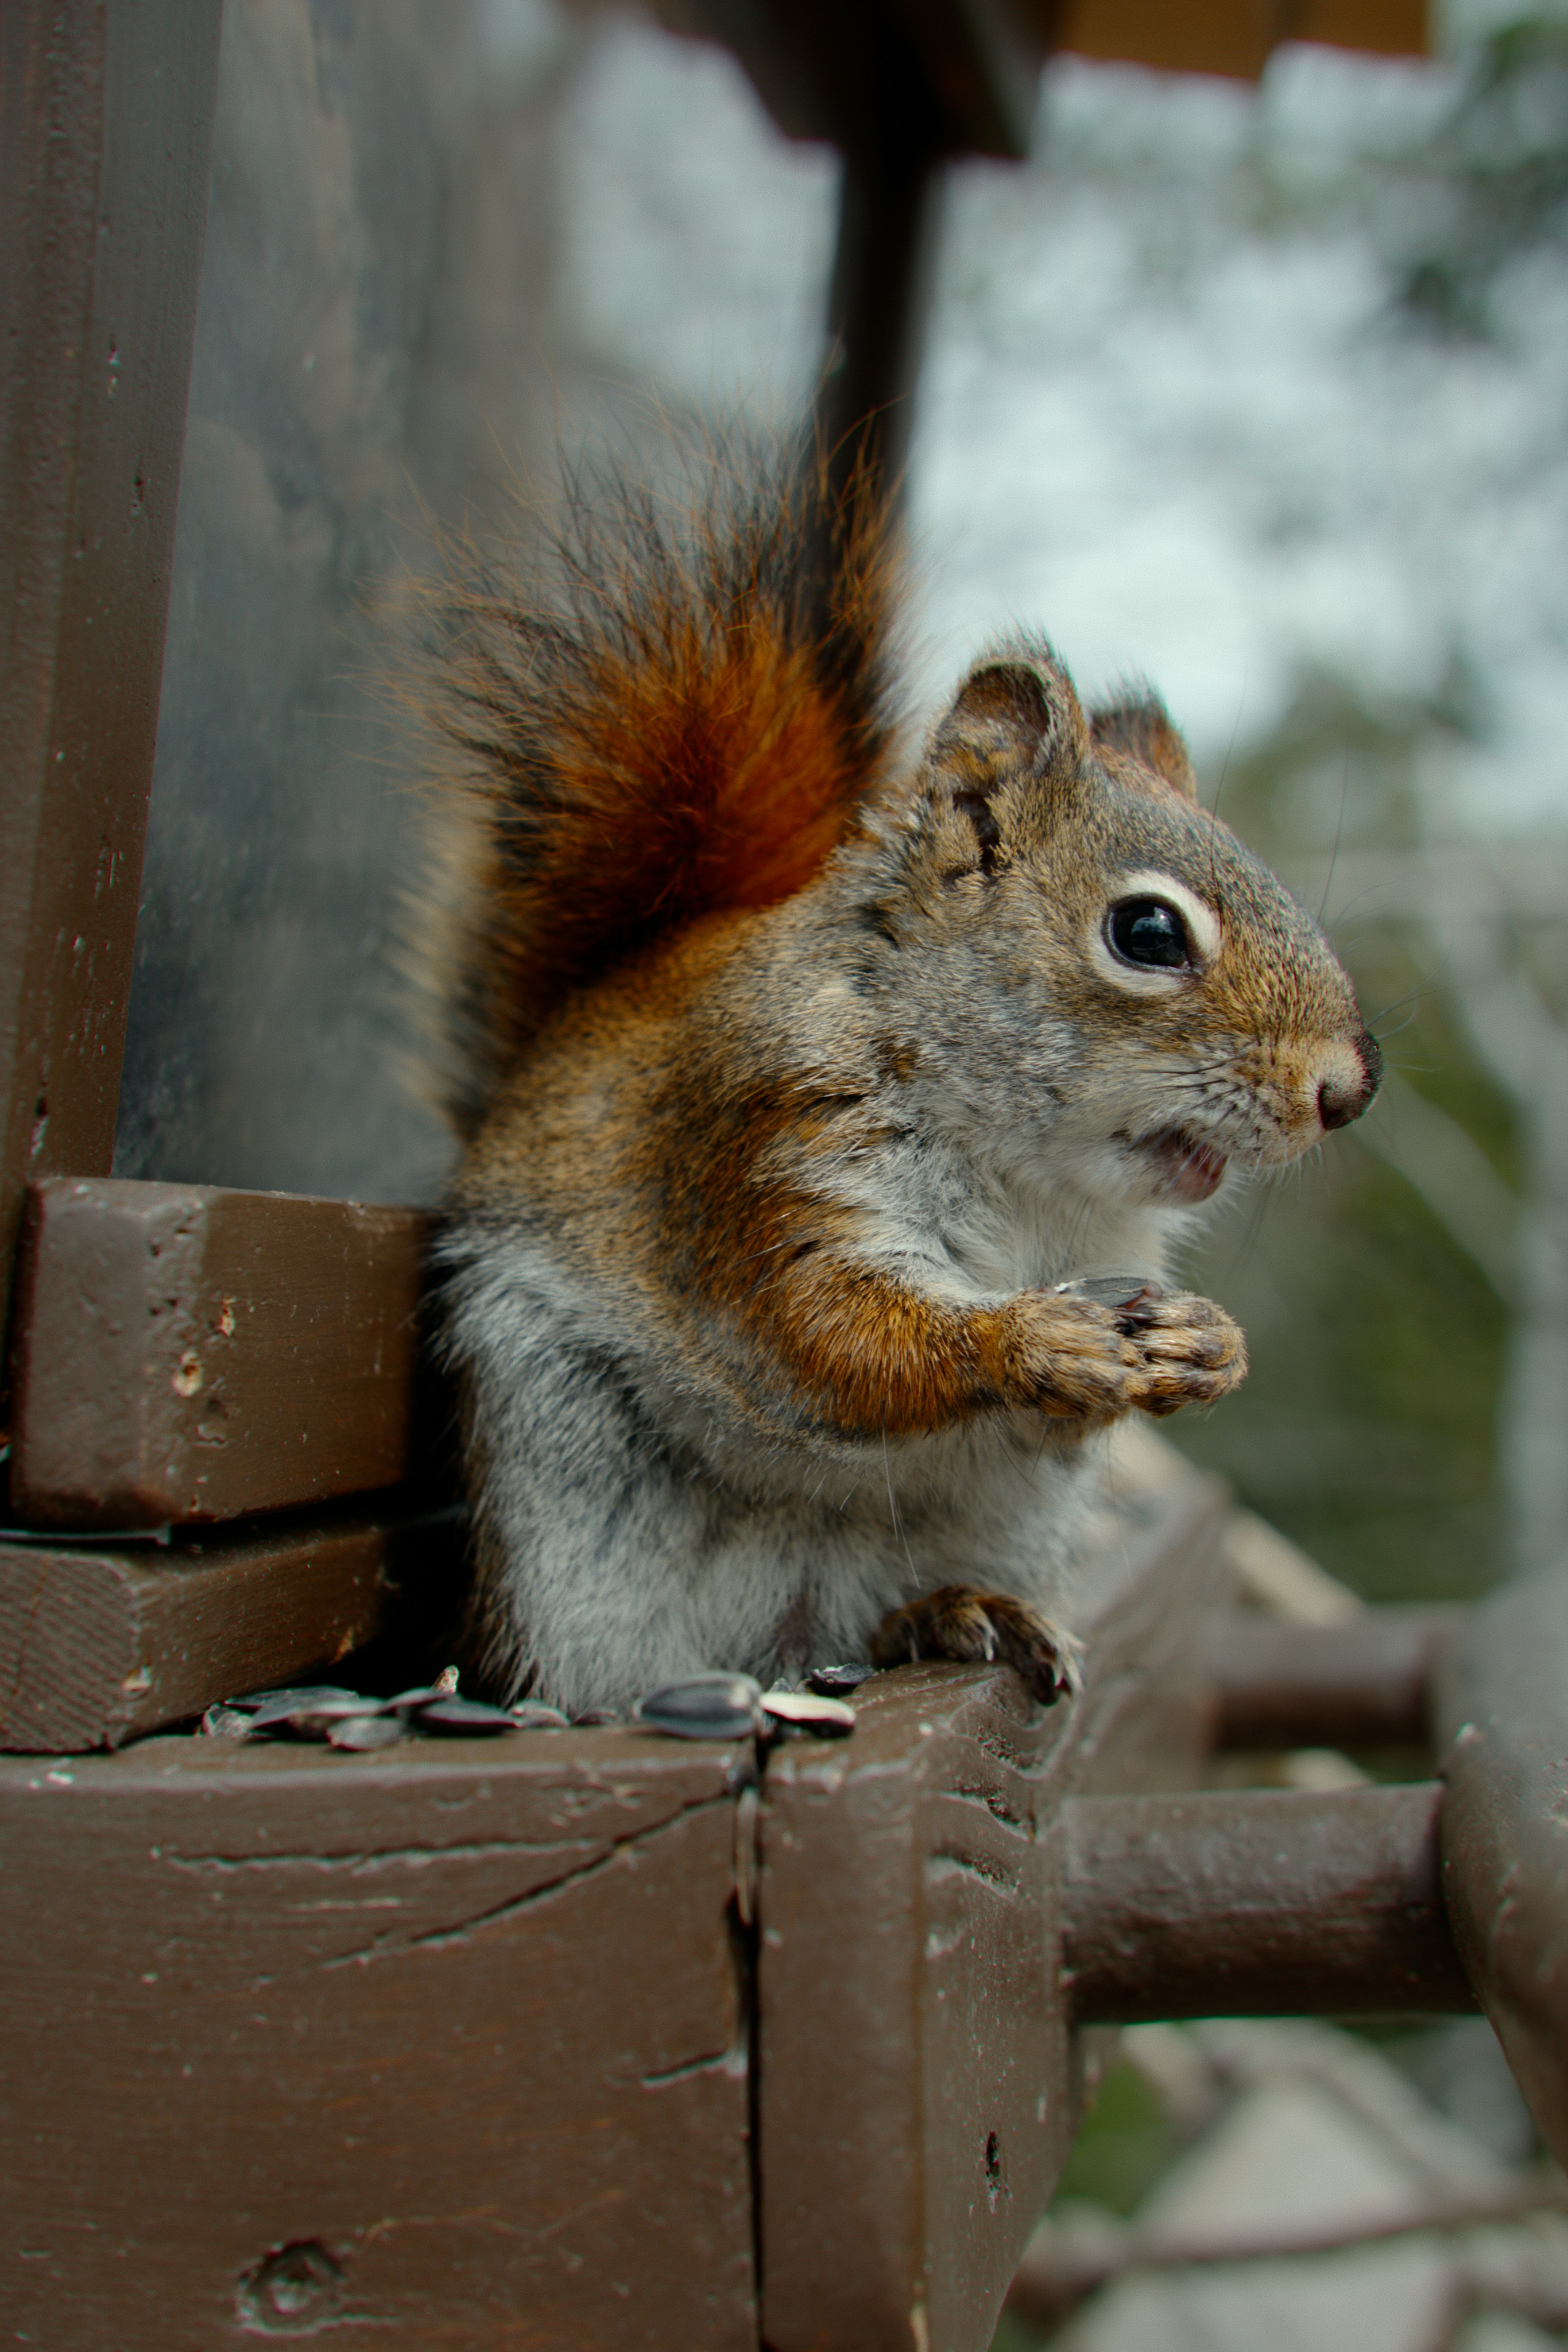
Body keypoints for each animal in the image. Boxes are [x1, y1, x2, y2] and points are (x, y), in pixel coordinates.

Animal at [421, 435, 1381, 1719]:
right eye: (1147, 933)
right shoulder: (770, 1142)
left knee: (863, 1626)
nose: (1346, 1088)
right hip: (571, 1510)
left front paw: (1209, 1344)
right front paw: (1027, 1342)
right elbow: (828, 1331)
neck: (1029, 1172)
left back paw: (948, 1613)